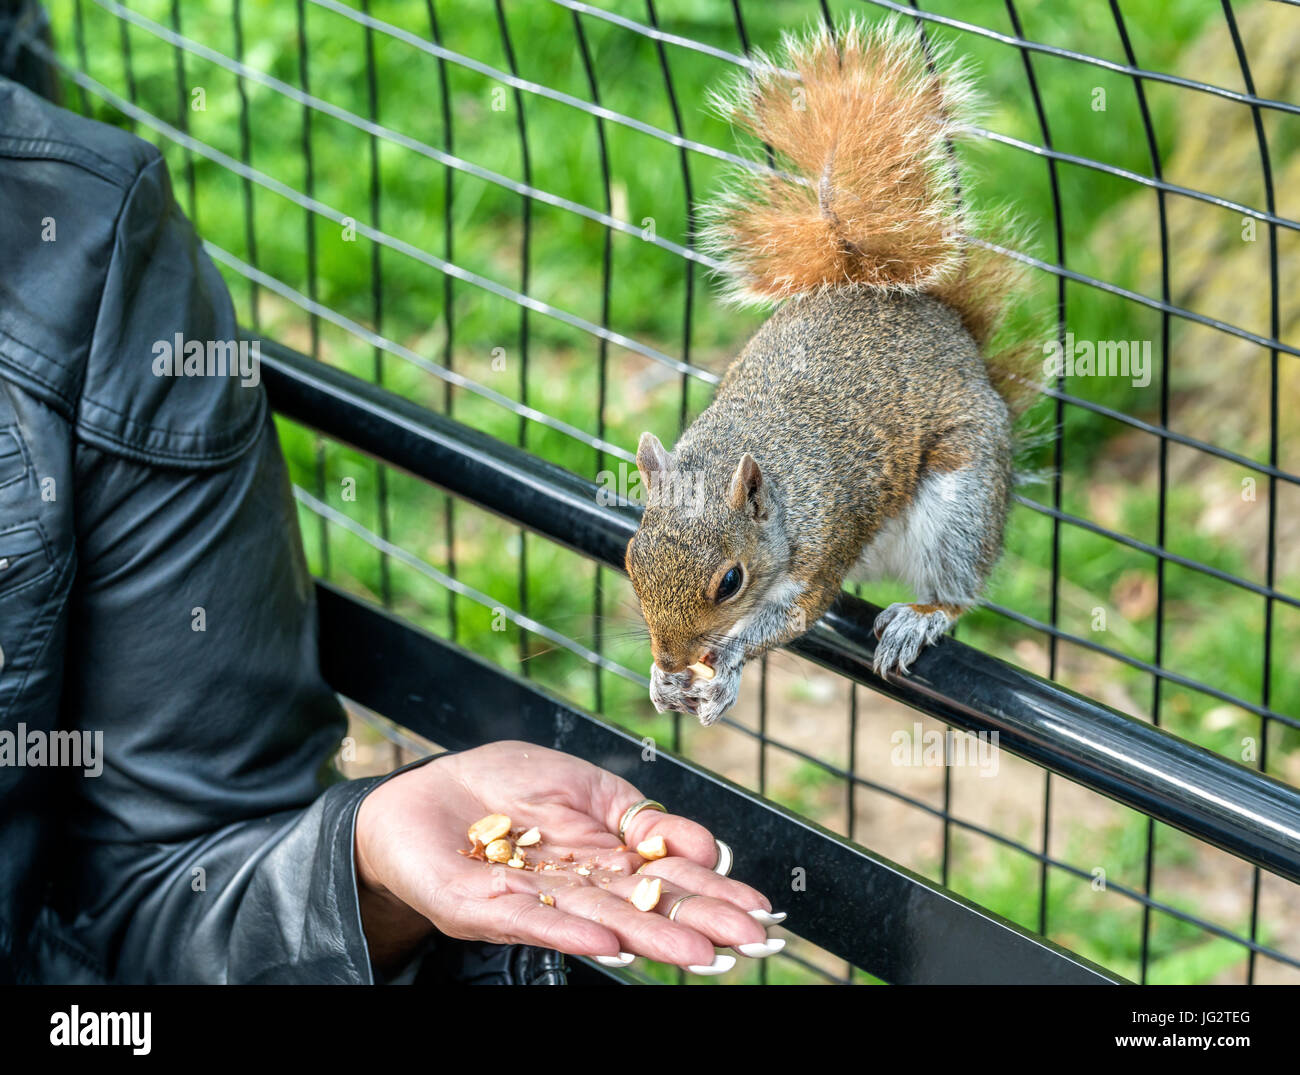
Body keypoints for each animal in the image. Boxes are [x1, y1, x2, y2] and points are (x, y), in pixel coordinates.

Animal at [624, 17, 1039, 725]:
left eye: (730, 581)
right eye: (632, 559)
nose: (674, 658)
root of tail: (950, 329)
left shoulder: (823, 544)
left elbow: (794, 616)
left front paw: (726, 667)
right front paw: (662, 680)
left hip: (964, 498)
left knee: (956, 586)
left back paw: (922, 616)